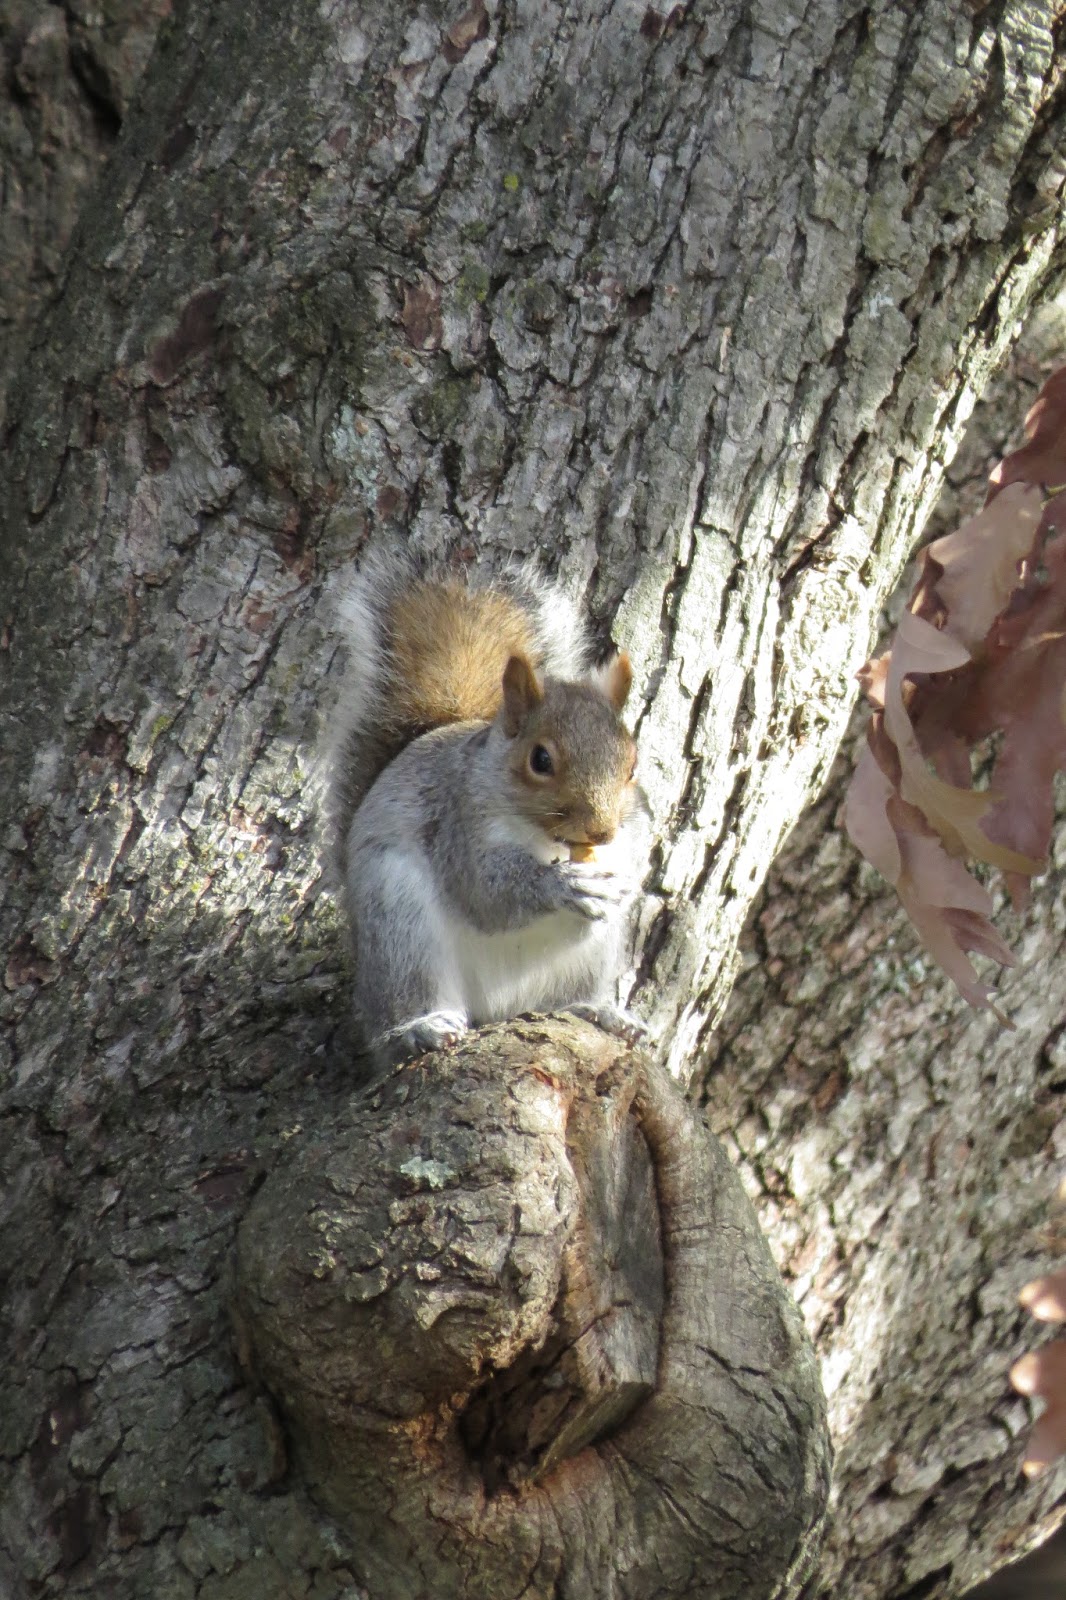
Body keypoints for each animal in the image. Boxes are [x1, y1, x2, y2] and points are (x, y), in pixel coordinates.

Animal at [327, 552, 650, 1072]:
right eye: (540, 760)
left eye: (633, 765)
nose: (601, 832)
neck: (545, 838)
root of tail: (496, 1007)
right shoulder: (458, 821)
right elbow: (484, 891)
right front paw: (560, 884)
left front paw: (623, 882)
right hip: (398, 927)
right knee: (397, 1015)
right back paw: (416, 1031)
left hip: (588, 961)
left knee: (565, 1000)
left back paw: (601, 1012)